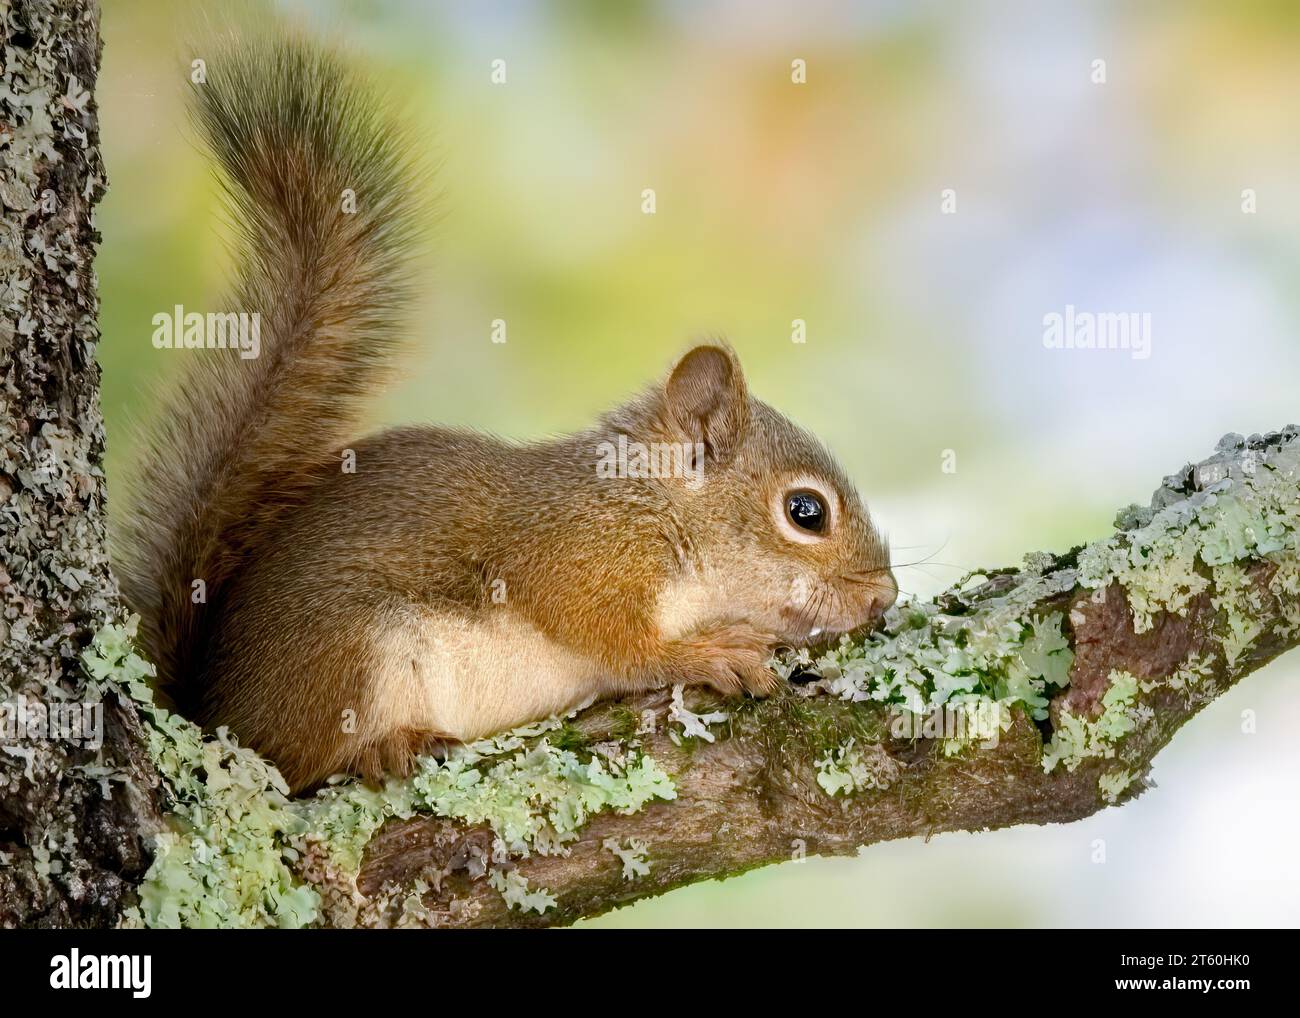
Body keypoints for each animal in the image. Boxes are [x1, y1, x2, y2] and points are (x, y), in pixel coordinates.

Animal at [116, 35, 898, 794]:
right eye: (805, 512)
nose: (883, 598)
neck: (650, 503)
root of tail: (212, 712)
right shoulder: (575, 552)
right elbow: (613, 637)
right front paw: (707, 651)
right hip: (350, 657)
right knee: (293, 762)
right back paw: (383, 746)